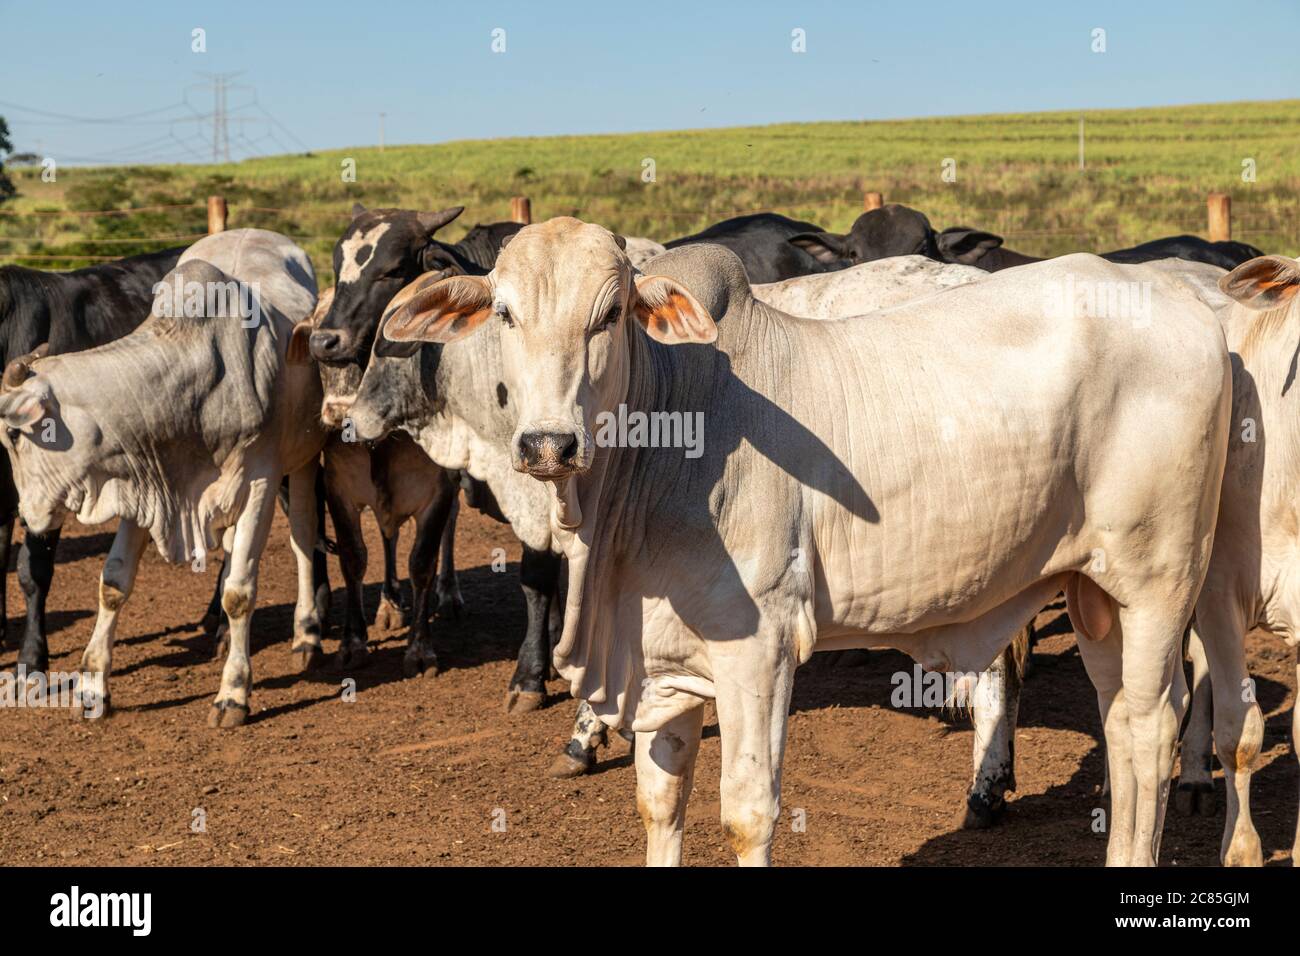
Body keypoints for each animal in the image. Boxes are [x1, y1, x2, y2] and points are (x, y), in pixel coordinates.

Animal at [383, 217, 1234, 867]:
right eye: (503, 313)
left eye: (611, 312)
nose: (548, 445)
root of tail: (1195, 306)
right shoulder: (661, 662)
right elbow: (660, 801)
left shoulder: (758, 647)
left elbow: (748, 811)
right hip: (1094, 593)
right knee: (1120, 723)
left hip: (1158, 581)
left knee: (1152, 729)